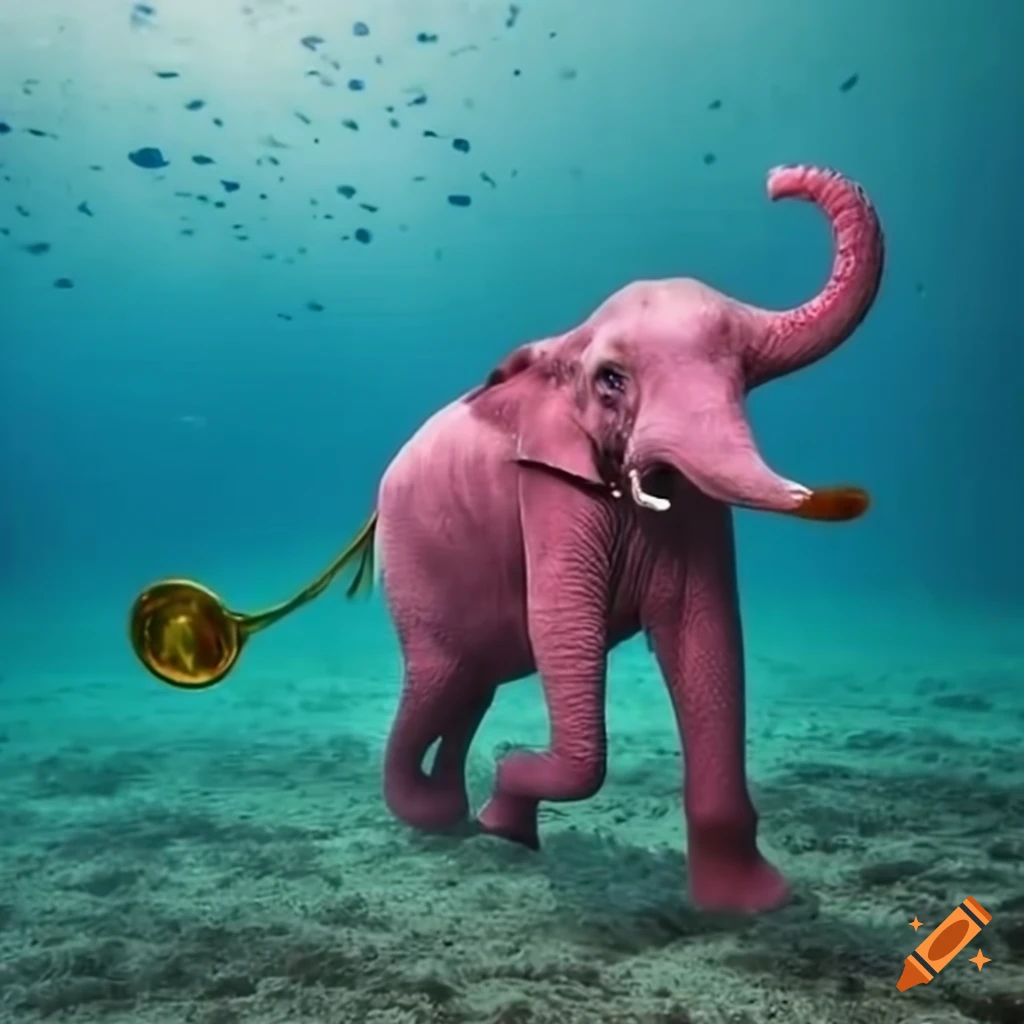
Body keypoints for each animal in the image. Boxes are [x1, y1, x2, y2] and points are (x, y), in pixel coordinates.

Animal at [352, 164, 884, 914]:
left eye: (742, 383)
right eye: (611, 380)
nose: (776, 180)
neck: (562, 342)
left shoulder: (690, 507)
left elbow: (705, 632)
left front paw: (755, 908)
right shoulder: (547, 484)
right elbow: (562, 632)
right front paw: (510, 794)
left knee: (472, 688)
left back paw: (463, 819)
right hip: (416, 580)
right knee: (438, 682)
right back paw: (443, 818)